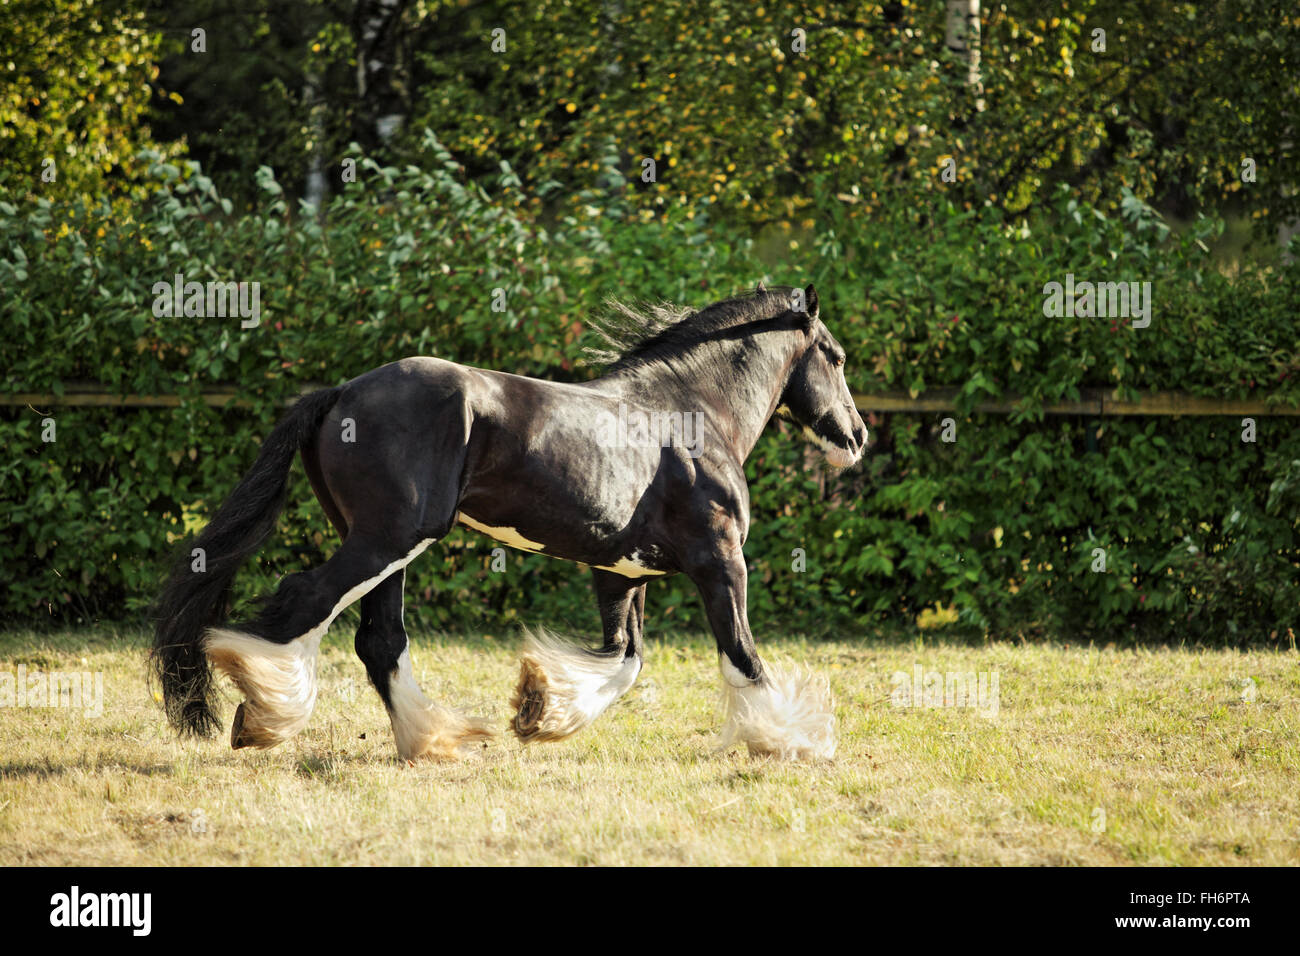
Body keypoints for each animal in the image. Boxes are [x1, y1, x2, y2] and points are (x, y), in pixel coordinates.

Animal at [151, 282, 868, 762]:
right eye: (834, 357)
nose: (856, 436)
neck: (687, 416)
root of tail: (339, 394)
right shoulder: (718, 559)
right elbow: (740, 655)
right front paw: (790, 741)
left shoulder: (620, 572)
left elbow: (624, 660)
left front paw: (537, 710)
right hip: (392, 537)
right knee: (308, 599)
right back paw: (266, 717)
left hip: (389, 545)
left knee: (380, 639)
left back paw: (432, 739)